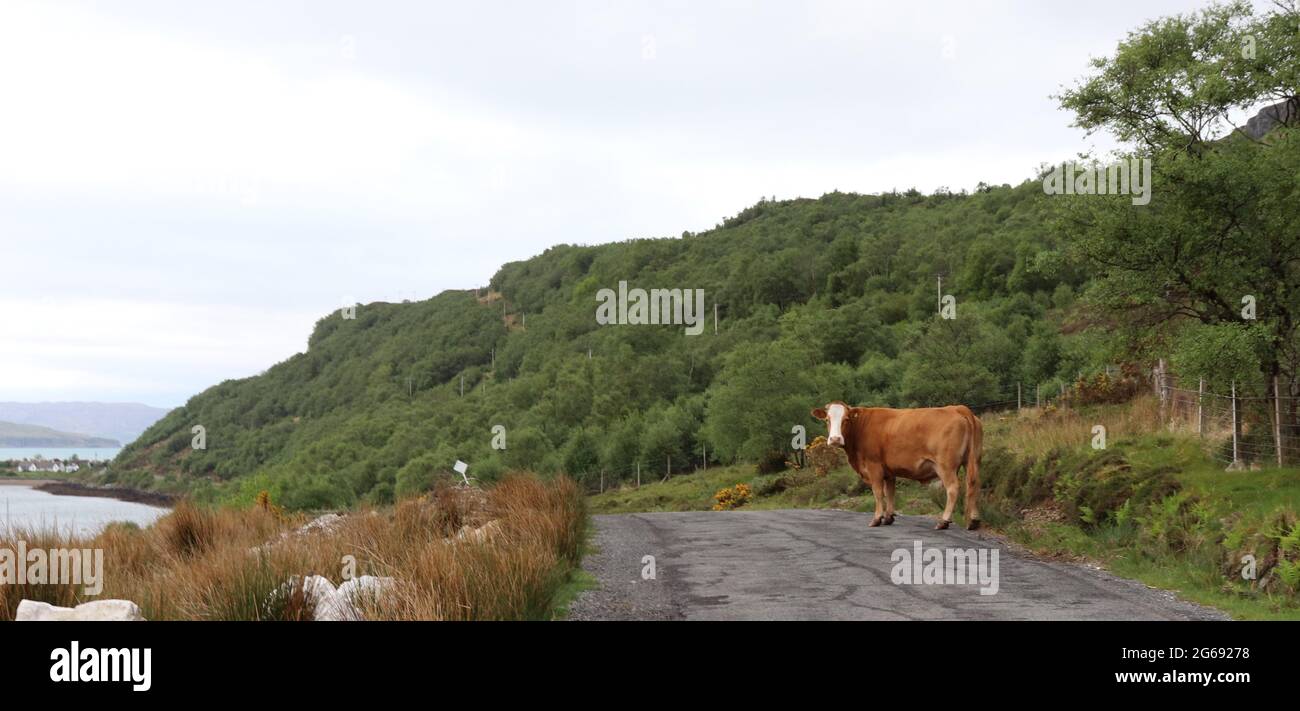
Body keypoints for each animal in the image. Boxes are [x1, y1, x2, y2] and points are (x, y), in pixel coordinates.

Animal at [811, 401, 982, 531]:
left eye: (846, 419)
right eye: (827, 420)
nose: (835, 439)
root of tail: (957, 408)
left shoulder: (874, 467)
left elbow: (878, 493)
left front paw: (877, 518)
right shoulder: (889, 471)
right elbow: (890, 492)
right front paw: (888, 517)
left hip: (945, 466)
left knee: (953, 488)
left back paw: (943, 521)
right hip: (973, 460)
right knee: (973, 484)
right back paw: (973, 521)